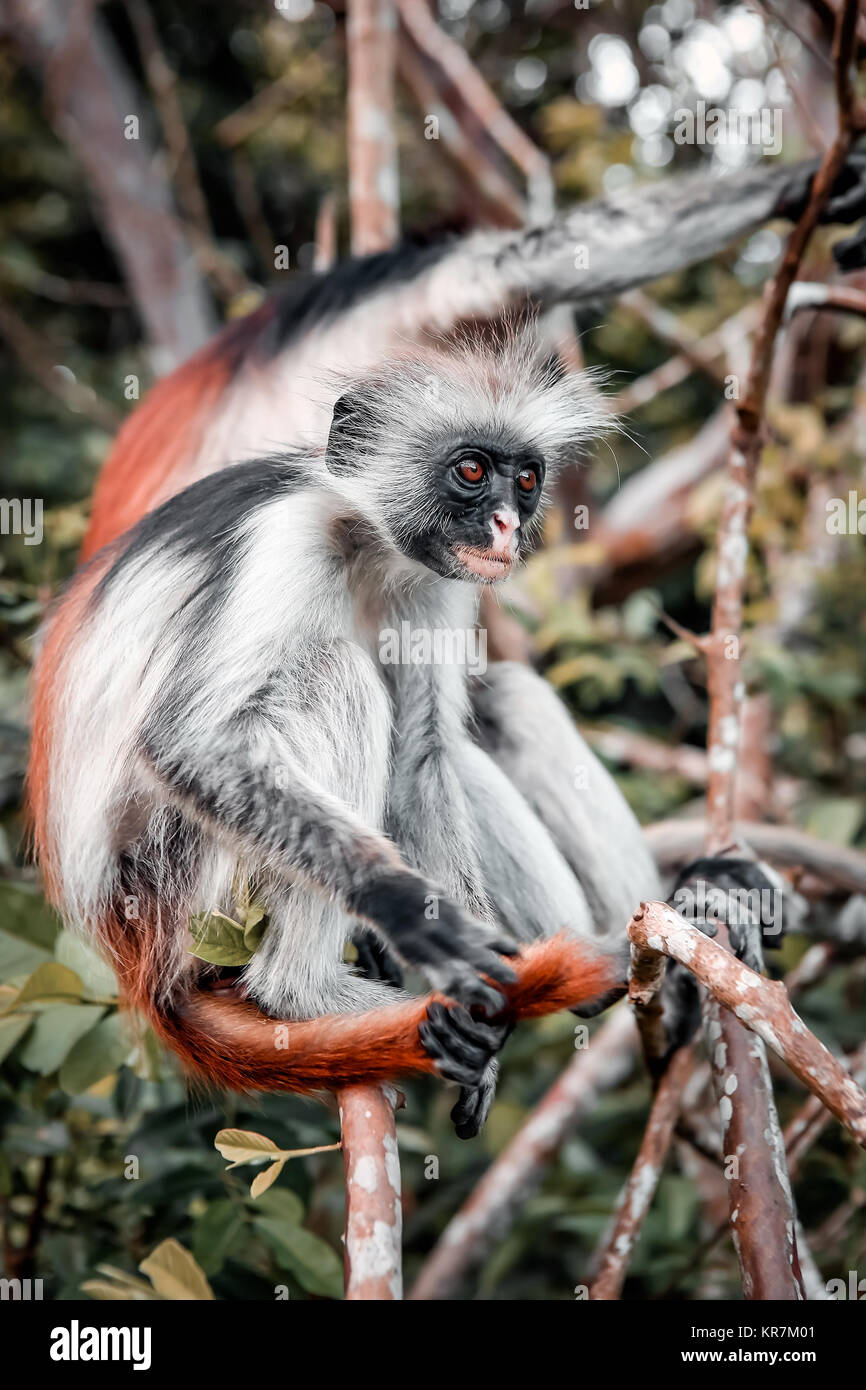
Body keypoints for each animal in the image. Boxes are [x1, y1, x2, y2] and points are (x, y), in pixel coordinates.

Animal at [29, 328, 661, 1137]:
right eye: (471, 471)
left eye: (525, 480)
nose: (508, 527)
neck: (362, 536)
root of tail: (126, 944)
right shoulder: (284, 538)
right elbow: (186, 745)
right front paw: (404, 913)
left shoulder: (437, 578)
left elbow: (424, 752)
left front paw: (480, 1005)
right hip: (188, 886)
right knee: (335, 677)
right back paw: (301, 992)